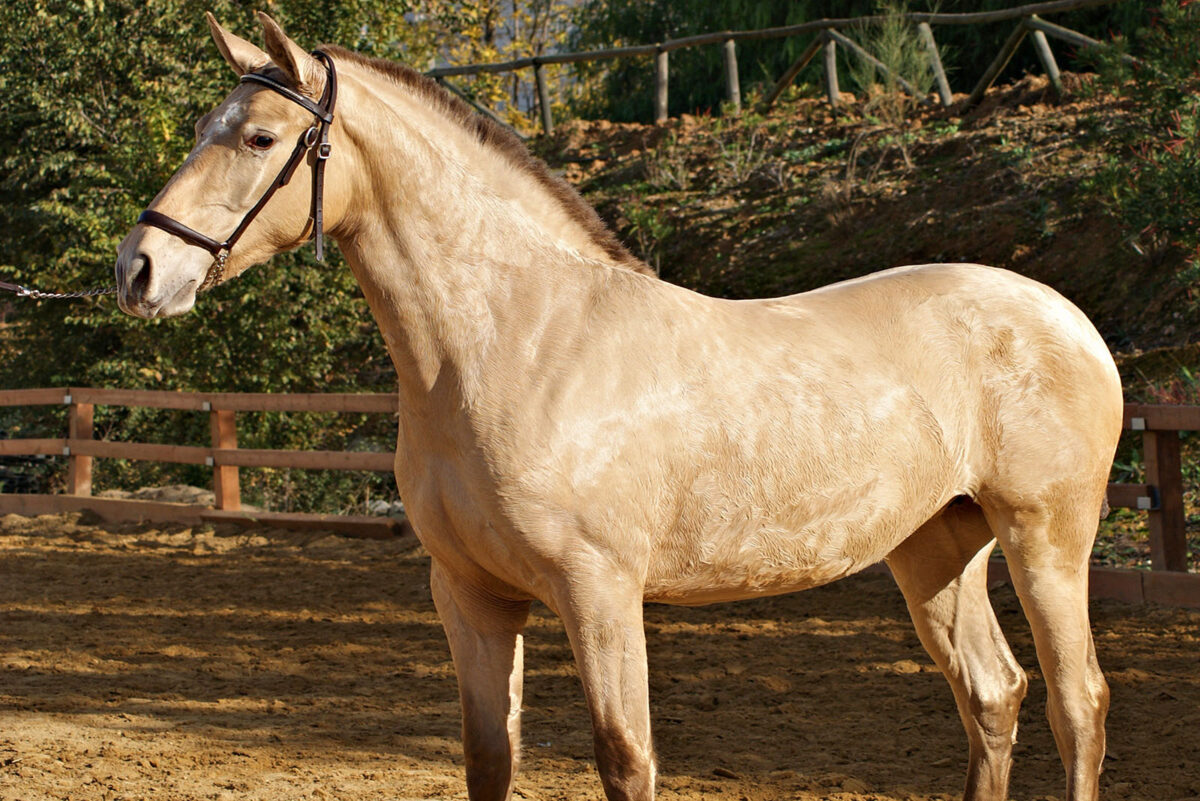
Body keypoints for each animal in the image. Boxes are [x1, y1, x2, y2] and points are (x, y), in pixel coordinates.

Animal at [114, 14, 1121, 801]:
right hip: (934, 546)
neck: (512, 339)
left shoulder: (597, 590)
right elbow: (489, 757)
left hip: (1044, 537)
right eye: (207, 126)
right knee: (992, 695)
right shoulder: (470, 595)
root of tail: (1068, 318)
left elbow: (624, 757)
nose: (139, 270)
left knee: (1078, 704)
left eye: (259, 138)